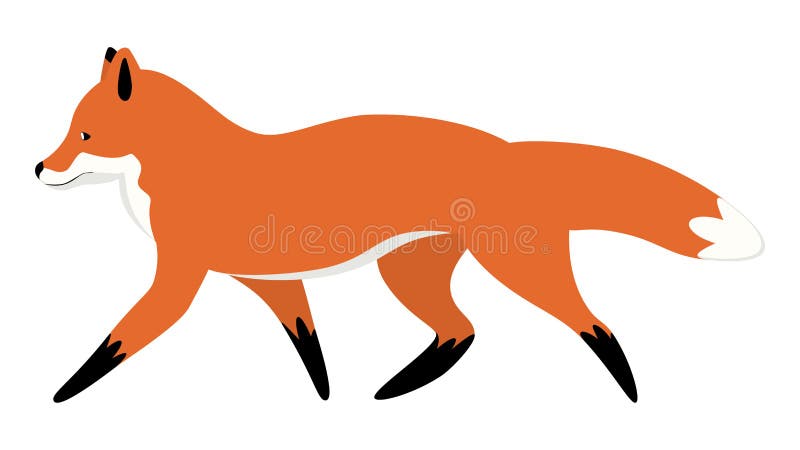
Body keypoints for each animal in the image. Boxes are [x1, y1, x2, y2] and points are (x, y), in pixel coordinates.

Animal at [36, 47, 763, 404]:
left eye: (85, 134)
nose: (38, 167)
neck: (190, 163)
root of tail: (509, 150)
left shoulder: (180, 279)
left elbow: (118, 340)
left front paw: (65, 394)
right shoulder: (270, 281)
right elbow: (309, 345)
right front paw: (325, 397)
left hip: (516, 269)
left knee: (596, 326)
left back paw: (631, 393)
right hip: (408, 273)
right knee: (462, 332)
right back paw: (398, 386)